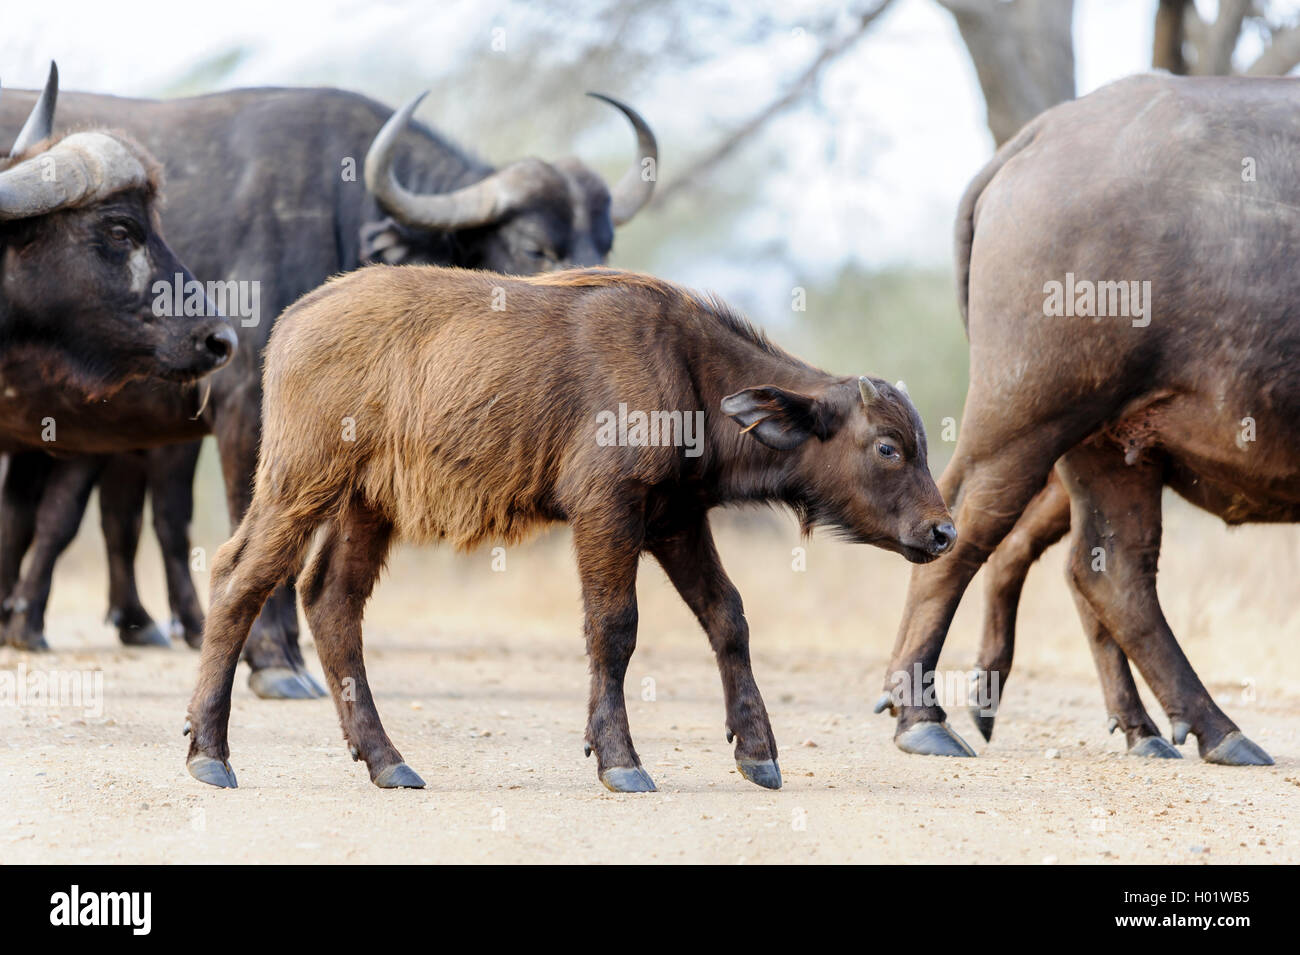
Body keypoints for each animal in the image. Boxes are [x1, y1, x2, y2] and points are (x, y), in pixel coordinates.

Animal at [184, 266, 955, 792]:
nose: (944, 532)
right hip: (299, 483)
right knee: (238, 578)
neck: (690, 374)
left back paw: (388, 761)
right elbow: (615, 627)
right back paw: (208, 753)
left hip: (366, 506)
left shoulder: (675, 520)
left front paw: (757, 751)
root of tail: (293, 321)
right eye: (889, 447)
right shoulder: (607, 511)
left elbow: (727, 617)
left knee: (330, 600)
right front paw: (620, 760)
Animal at [879, 74, 1297, 765]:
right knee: (959, 534)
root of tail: (1037, 136)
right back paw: (923, 716)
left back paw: (1183, 728)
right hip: (1027, 419)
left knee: (1110, 571)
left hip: (1113, 443)